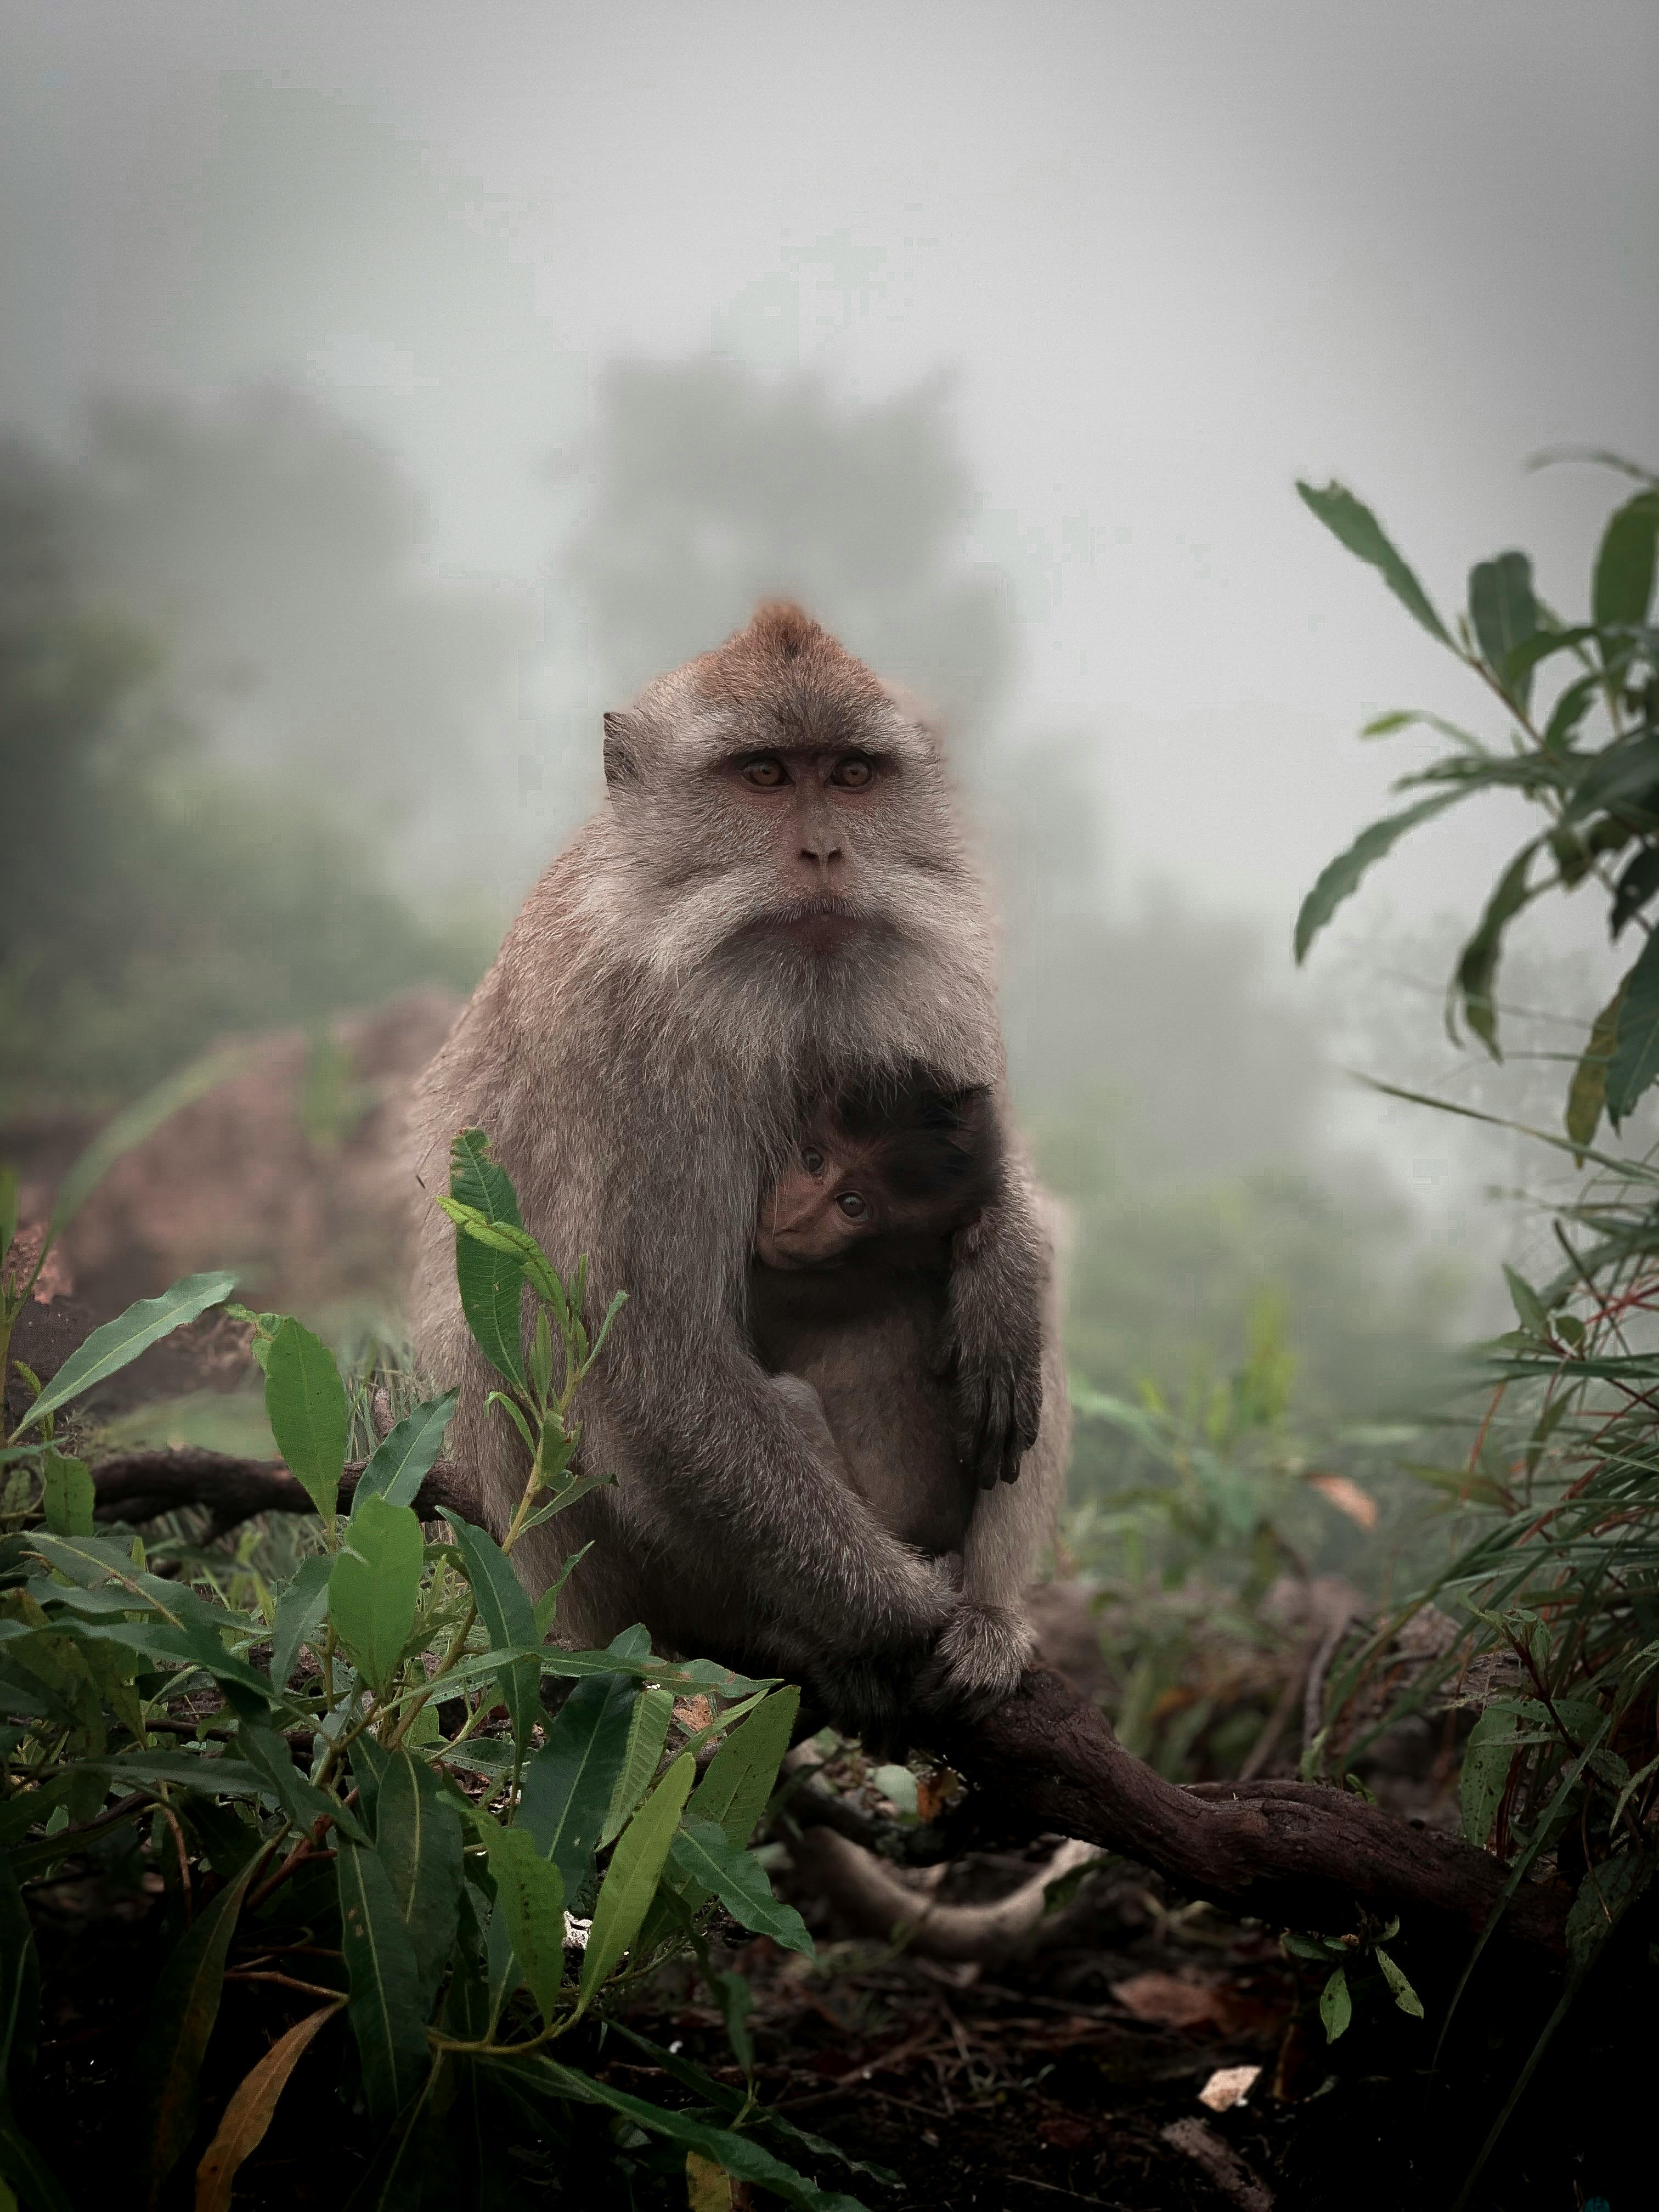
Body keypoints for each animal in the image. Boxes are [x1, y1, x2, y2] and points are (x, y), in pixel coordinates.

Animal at [410, 601, 1068, 1738]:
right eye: (761, 775)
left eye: (850, 774)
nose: (824, 848)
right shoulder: (633, 1032)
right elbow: (650, 1341)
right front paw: (896, 1608)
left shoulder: (935, 975)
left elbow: (992, 1177)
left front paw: (1005, 1272)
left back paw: (988, 1617)